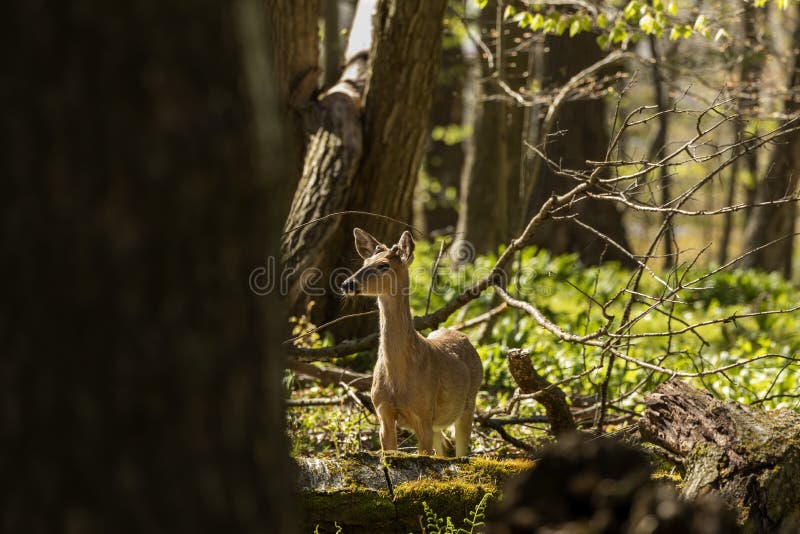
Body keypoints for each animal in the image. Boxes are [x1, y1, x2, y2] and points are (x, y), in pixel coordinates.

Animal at [340, 228, 483, 456]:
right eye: (364, 262)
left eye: (384, 265)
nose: (348, 284)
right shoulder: (383, 414)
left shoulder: (423, 414)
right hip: (438, 423)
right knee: (443, 449)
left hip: (468, 402)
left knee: (461, 450)